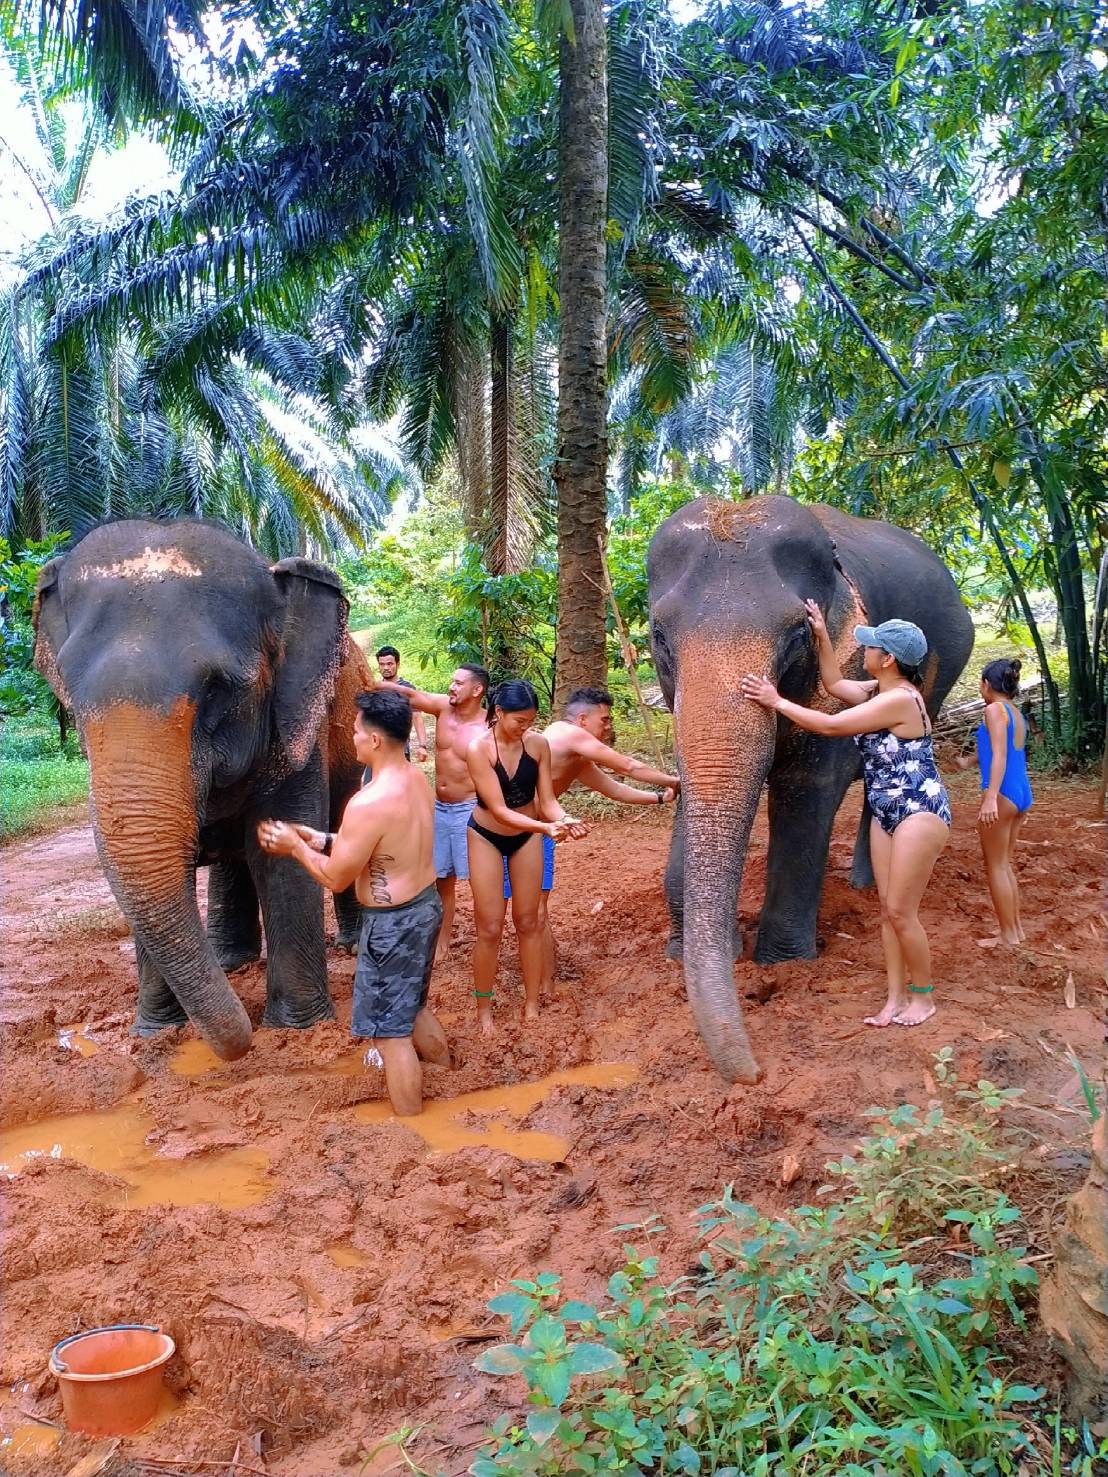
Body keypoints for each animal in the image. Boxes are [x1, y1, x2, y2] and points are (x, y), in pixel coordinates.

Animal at [33, 518, 372, 1060]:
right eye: (70, 692)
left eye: (218, 688)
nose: (245, 1039)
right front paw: (155, 1034)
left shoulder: (298, 729)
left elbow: (282, 857)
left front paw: (297, 1031)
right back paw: (230, 962)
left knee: (341, 822)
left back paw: (350, 946)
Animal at [648, 495, 974, 1084]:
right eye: (660, 636)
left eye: (799, 634)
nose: (753, 1075)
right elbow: (693, 780)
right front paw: (683, 952)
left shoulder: (846, 666)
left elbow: (808, 788)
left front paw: (783, 964)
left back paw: (868, 885)